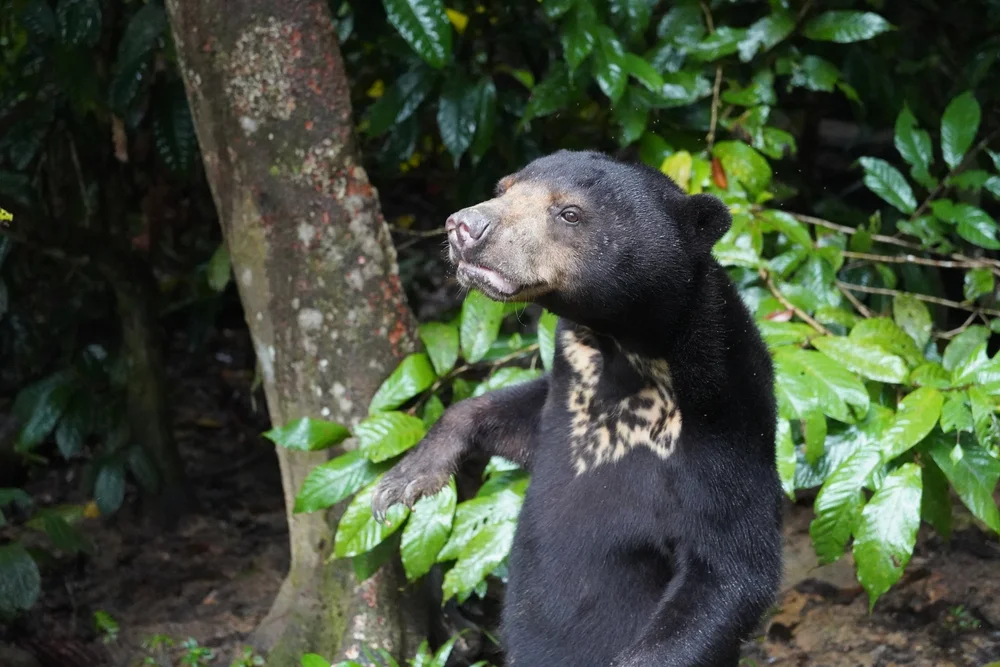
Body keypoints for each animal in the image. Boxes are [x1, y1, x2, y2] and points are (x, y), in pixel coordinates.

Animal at [372, 150, 783, 667]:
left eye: (569, 213)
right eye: (504, 187)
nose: (463, 226)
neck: (621, 349)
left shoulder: (724, 431)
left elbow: (732, 570)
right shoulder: (567, 388)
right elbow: (513, 416)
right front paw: (401, 482)